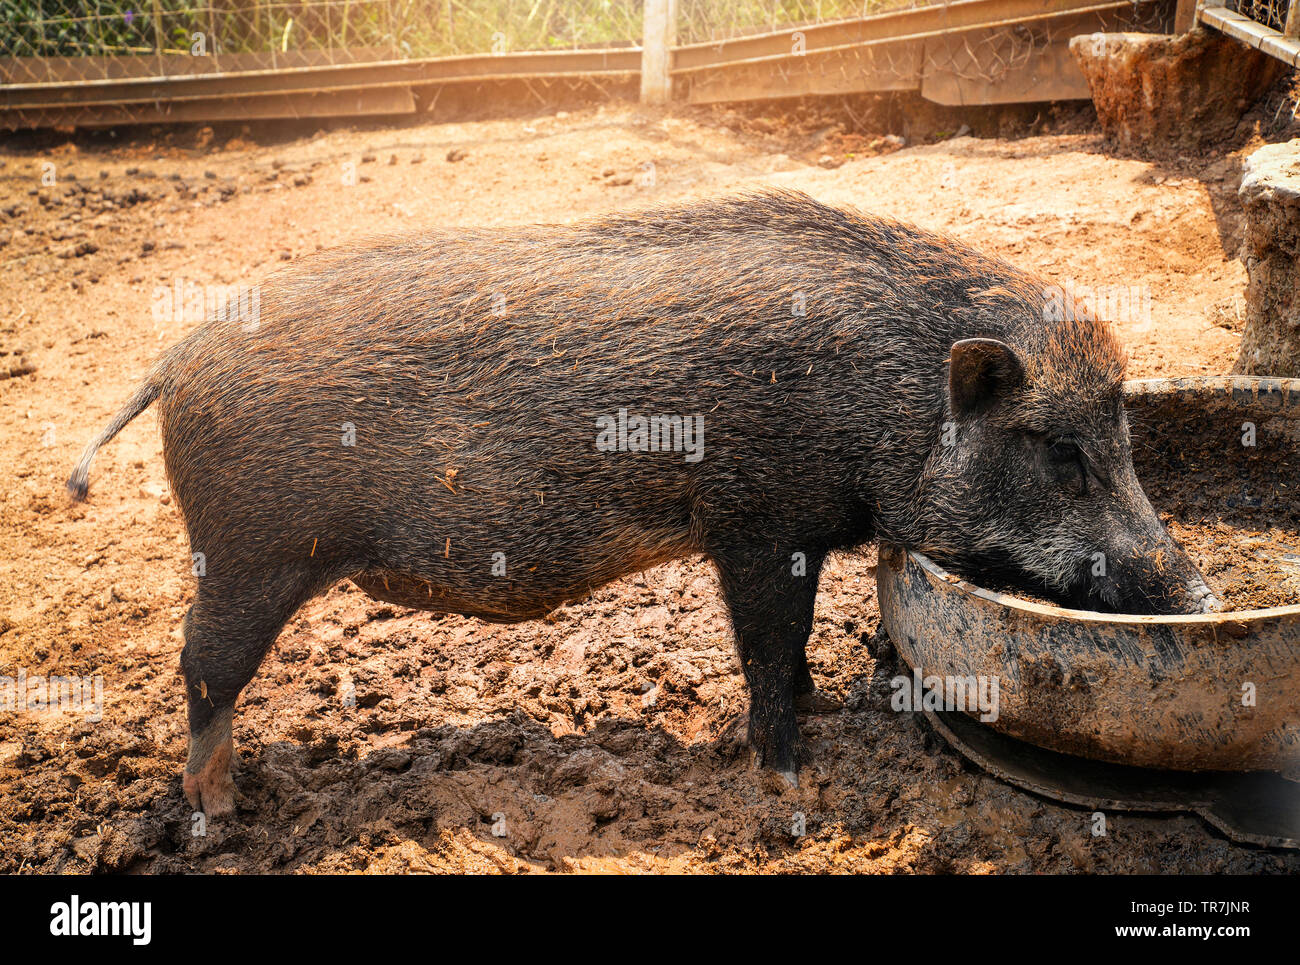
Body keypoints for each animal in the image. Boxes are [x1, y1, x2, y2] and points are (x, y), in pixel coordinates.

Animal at [67, 190, 1216, 817]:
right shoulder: (756, 523)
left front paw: (814, 716)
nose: (1200, 594)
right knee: (199, 665)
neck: (885, 395)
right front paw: (790, 781)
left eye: (1123, 441)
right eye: (1061, 453)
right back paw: (223, 806)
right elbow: (767, 647)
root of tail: (175, 358)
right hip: (250, 552)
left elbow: (794, 649)